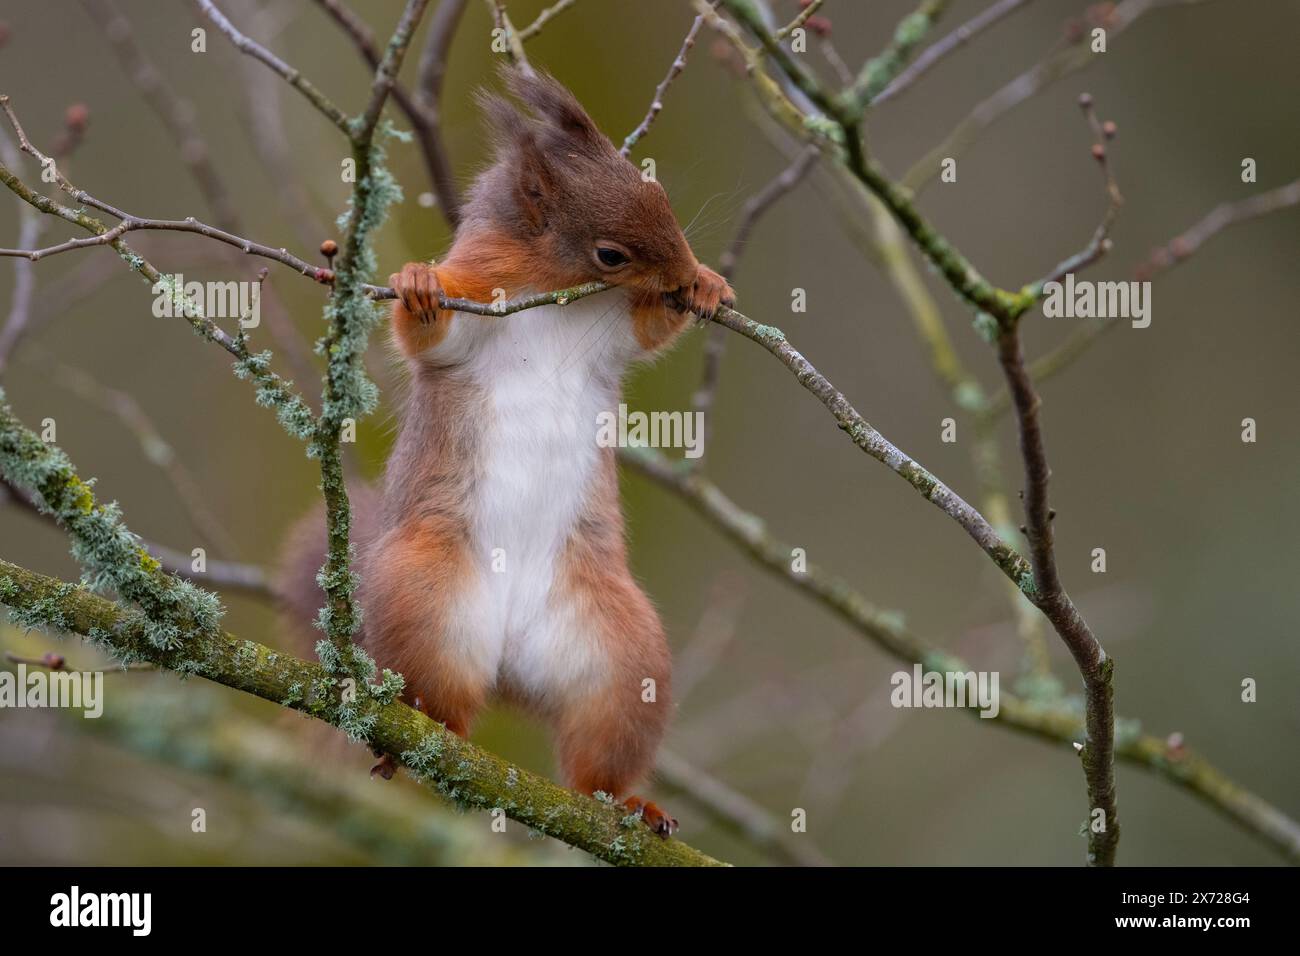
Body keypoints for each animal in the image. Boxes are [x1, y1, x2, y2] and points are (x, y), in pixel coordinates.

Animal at [278, 70, 733, 837]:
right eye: (610, 254)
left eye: (661, 198)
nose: (678, 273)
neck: (561, 294)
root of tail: (510, 668)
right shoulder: (476, 304)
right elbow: (427, 338)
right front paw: (417, 286)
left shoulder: (619, 334)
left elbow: (654, 332)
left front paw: (705, 284)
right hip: (425, 599)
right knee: (431, 701)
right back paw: (427, 734)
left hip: (620, 657)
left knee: (597, 762)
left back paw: (629, 803)